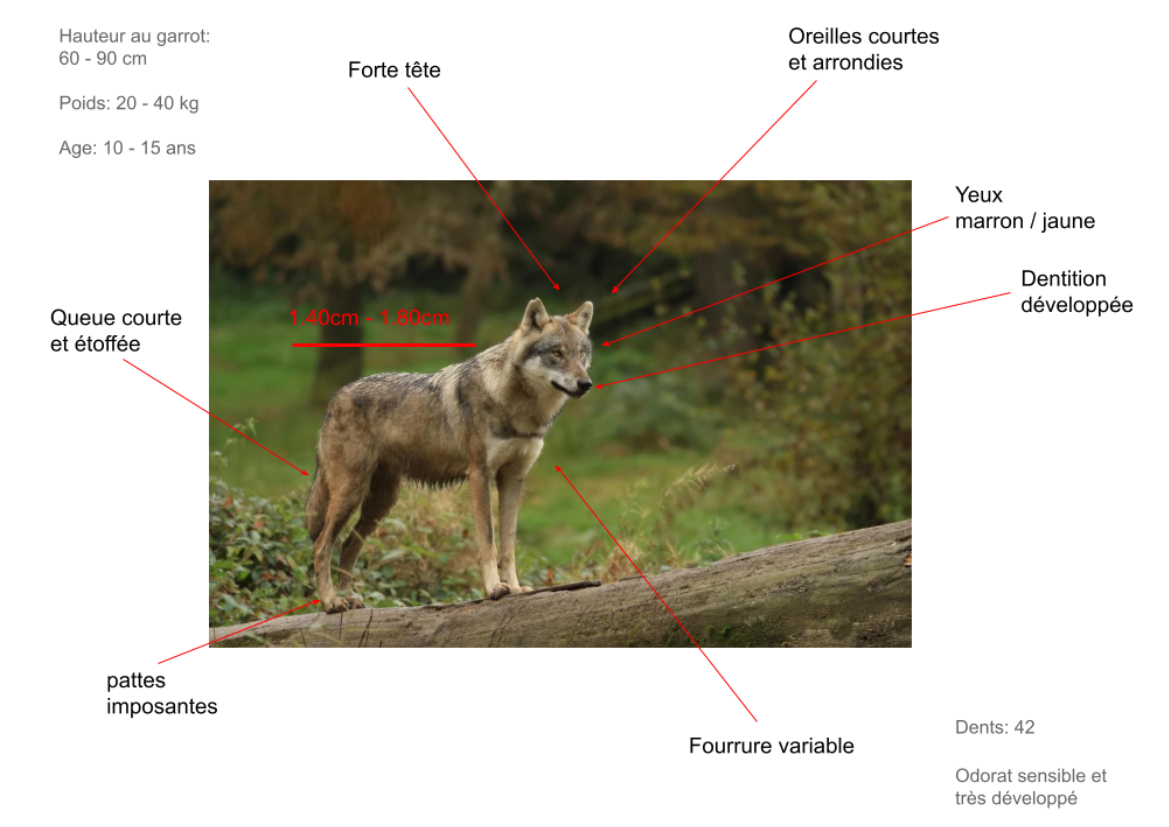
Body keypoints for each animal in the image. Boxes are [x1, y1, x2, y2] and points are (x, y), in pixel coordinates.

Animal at [306, 298, 594, 613]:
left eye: (581, 353)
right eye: (556, 353)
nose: (586, 384)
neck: (518, 408)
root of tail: (336, 398)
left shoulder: (513, 480)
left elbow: (508, 546)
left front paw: (516, 589)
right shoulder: (480, 475)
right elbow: (488, 541)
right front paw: (495, 588)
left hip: (379, 504)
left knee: (348, 546)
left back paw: (349, 598)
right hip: (351, 494)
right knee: (321, 545)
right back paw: (331, 602)